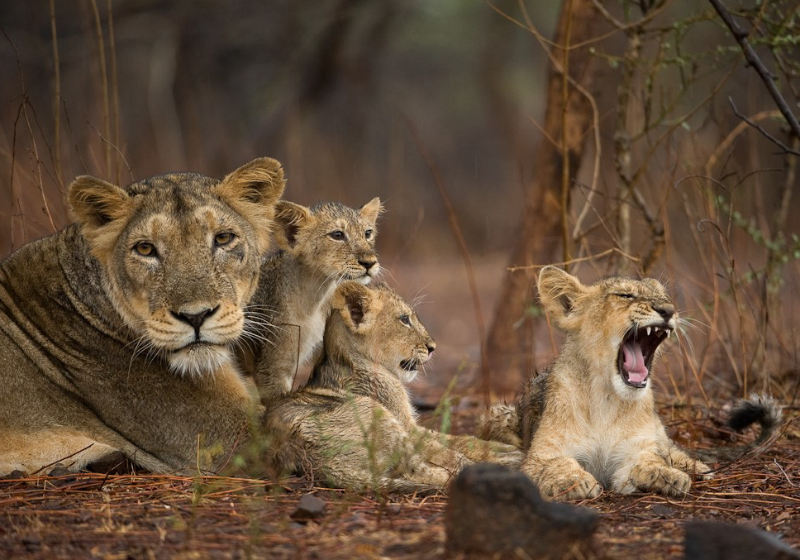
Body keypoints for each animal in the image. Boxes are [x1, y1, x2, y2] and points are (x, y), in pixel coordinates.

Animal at [264, 281, 521, 493]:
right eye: (404, 319)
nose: (433, 347)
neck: (347, 360)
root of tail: (314, 459)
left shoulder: (411, 424)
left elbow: (459, 439)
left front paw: (503, 449)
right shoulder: (405, 424)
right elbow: (448, 449)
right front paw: (507, 456)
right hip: (376, 414)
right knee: (422, 469)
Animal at [477, 266, 781, 501]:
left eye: (664, 297)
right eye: (625, 295)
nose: (668, 310)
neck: (606, 397)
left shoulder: (634, 450)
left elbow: (648, 459)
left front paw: (666, 476)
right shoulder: (541, 453)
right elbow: (556, 463)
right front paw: (573, 482)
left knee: (673, 449)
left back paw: (695, 468)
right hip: (498, 414)